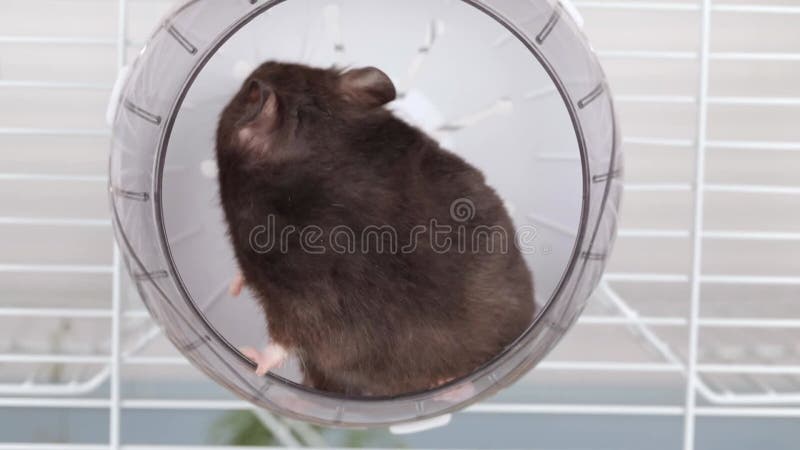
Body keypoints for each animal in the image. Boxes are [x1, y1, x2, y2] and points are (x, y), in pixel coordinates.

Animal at [216, 61, 534, 397]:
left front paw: (252, 360)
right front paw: (234, 287)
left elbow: (283, 341)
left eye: (248, 88)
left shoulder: (294, 289)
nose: (254, 74)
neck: (317, 153)